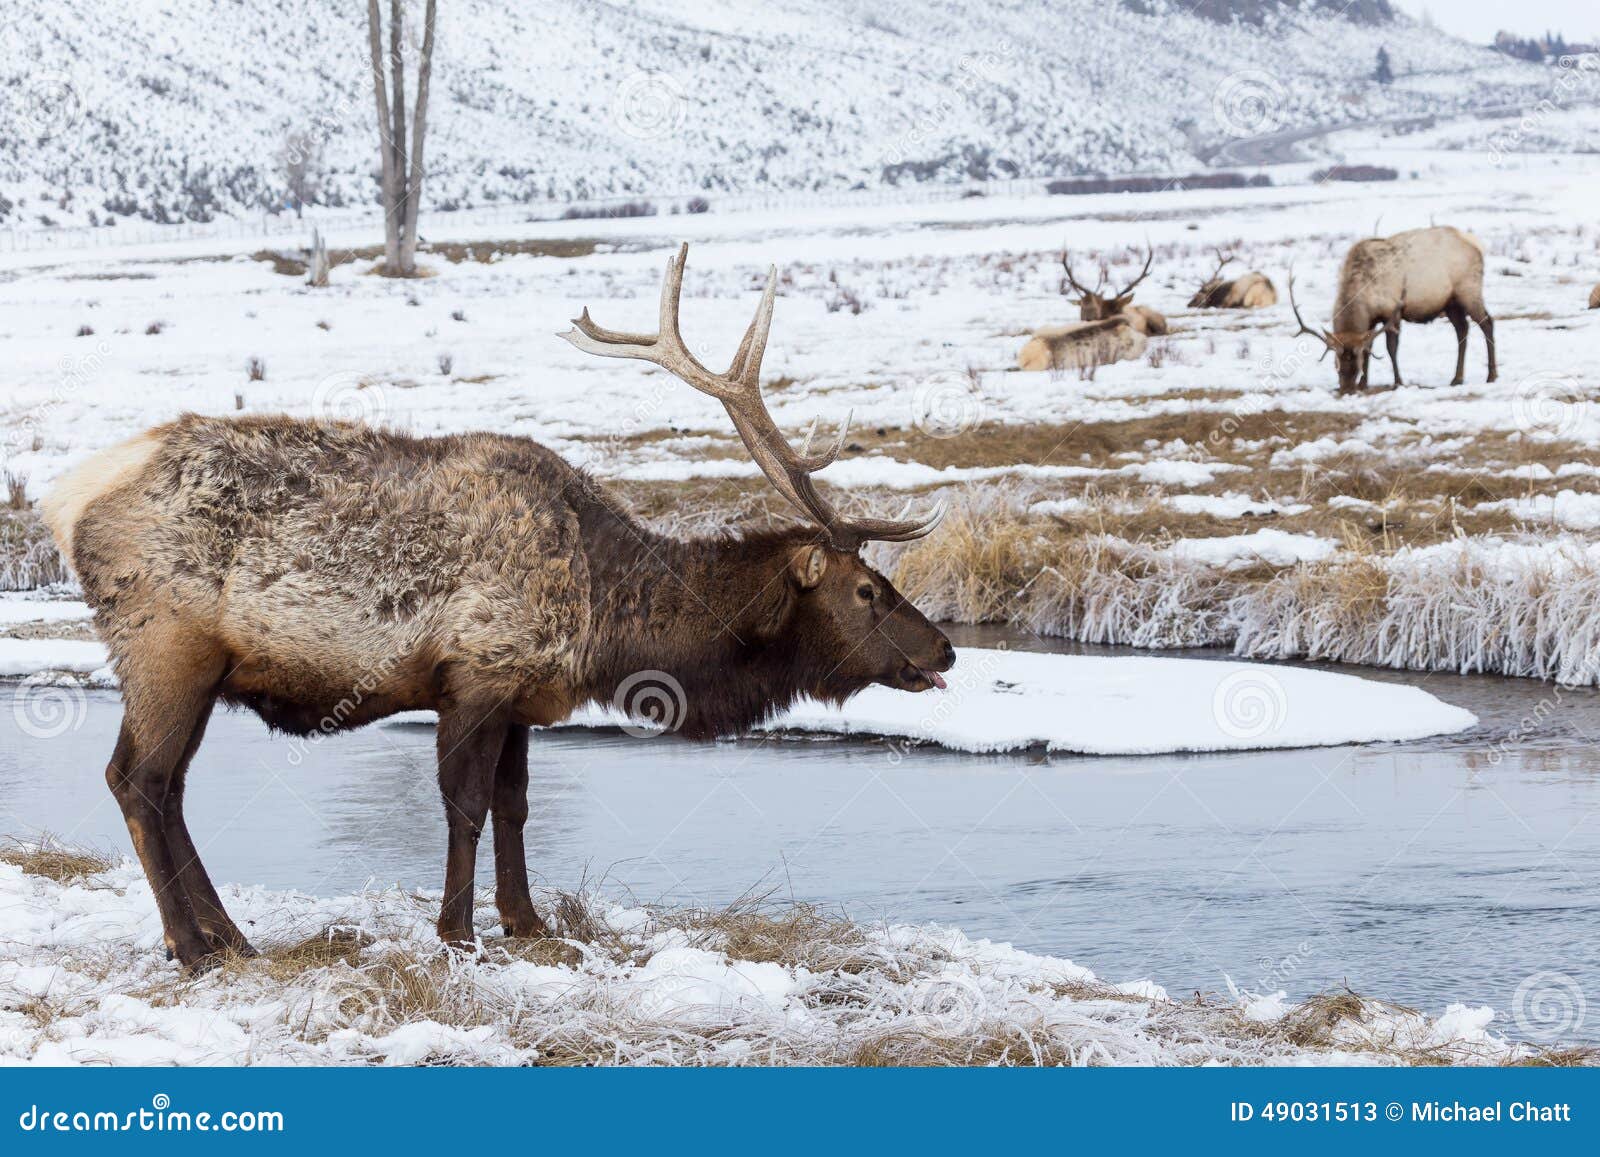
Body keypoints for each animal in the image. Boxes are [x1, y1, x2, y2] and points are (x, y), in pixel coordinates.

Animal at [41, 243, 956, 972]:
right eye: (867, 590)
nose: (945, 651)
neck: (604, 617)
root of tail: (65, 500)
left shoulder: (522, 693)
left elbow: (516, 806)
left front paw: (528, 921)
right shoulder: (476, 671)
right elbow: (465, 806)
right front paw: (458, 932)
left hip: (196, 667)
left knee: (169, 788)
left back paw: (229, 934)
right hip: (165, 647)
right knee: (137, 779)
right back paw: (191, 945)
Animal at [1288, 226, 1496, 392]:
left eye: (1355, 362)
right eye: (1336, 363)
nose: (1346, 389)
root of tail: (1476, 245)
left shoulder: (1392, 312)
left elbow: (1391, 348)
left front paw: (1397, 381)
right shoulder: (1371, 321)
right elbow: (1369, 347)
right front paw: (1364, 383)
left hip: (1469, 290)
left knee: (1487, 322)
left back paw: (1491, 375)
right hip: (1450, 302)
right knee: (1462, 330)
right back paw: (1457, 378)